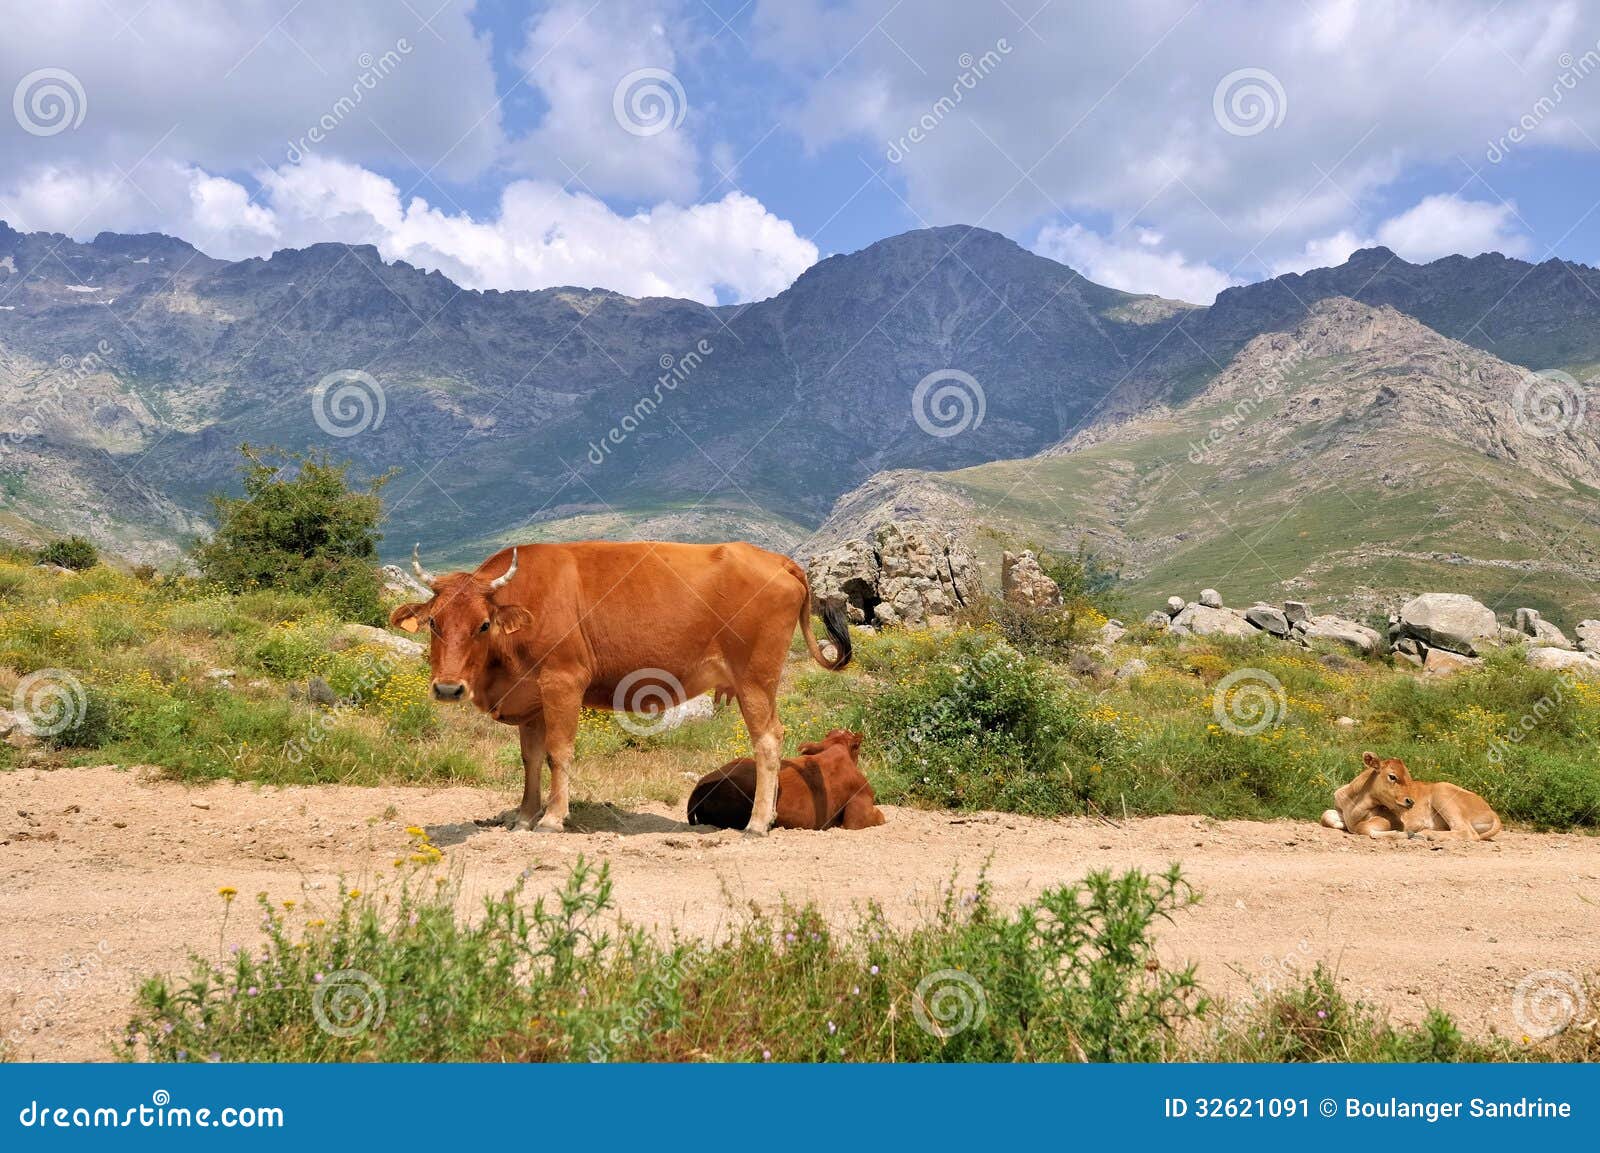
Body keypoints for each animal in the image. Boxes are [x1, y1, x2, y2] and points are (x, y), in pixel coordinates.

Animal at [389, 540, 852, 836]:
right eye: (434, 622)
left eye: (483, 625)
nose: (448, 689)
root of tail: (778, 560)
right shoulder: (531, 699)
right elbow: (531, 759)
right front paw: (523, 816)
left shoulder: (563, 683)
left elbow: (559, 753)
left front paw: (553, 819)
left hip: (756, 680)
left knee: (768, 741)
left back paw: (757, 824)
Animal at [1320, 751, 1501, 841]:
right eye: (1392, 776)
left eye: (1409, 779)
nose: (1410, 801)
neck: (1355, 806)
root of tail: (1492, 812)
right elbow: (1326, 816)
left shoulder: (1394, 820)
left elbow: (1364, 828)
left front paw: (1403, 834)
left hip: (1443, 793)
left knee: (1467, 832)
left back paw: (1427, 834)